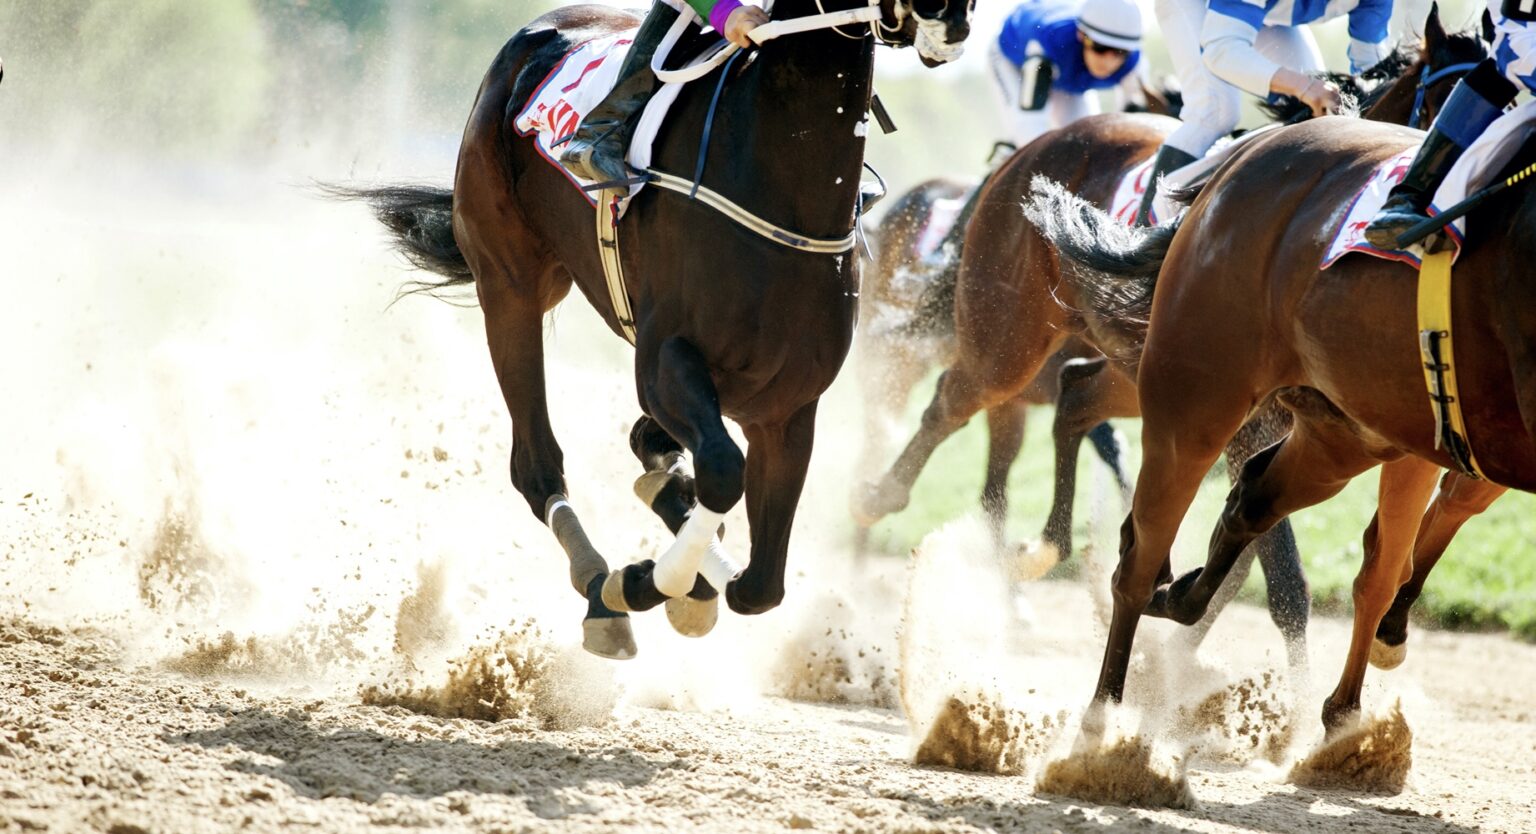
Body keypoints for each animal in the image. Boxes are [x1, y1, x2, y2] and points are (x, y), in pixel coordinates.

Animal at [338, 0, 973, 659]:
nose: (950, 21)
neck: (783, 190)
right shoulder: (668, 358)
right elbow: (721, 471)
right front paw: (642, 582)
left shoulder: (787, 406)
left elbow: (760, 585)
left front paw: (683, 569)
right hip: (510, 285)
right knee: (536, 464)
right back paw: (600, 585)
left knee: (648, 453)